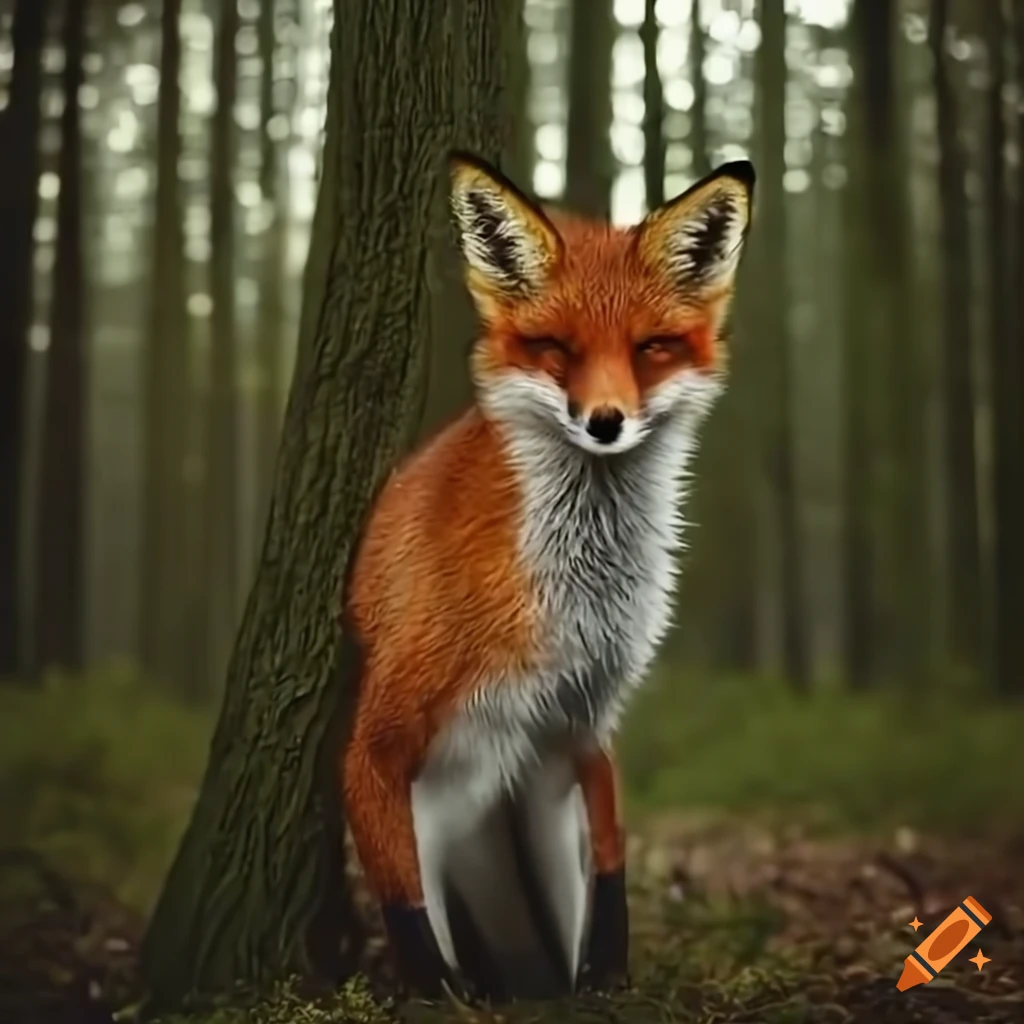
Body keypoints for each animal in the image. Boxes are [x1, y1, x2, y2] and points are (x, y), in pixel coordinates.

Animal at [340, 151, 755, 1001]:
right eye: (555, 347)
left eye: (650, 348)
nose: (605, 422)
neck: (575, 593)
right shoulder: (379, 739)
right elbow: (407, 914)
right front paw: (442, 999)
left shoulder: (585, 720)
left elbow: (613, 869)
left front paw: (605, 979)